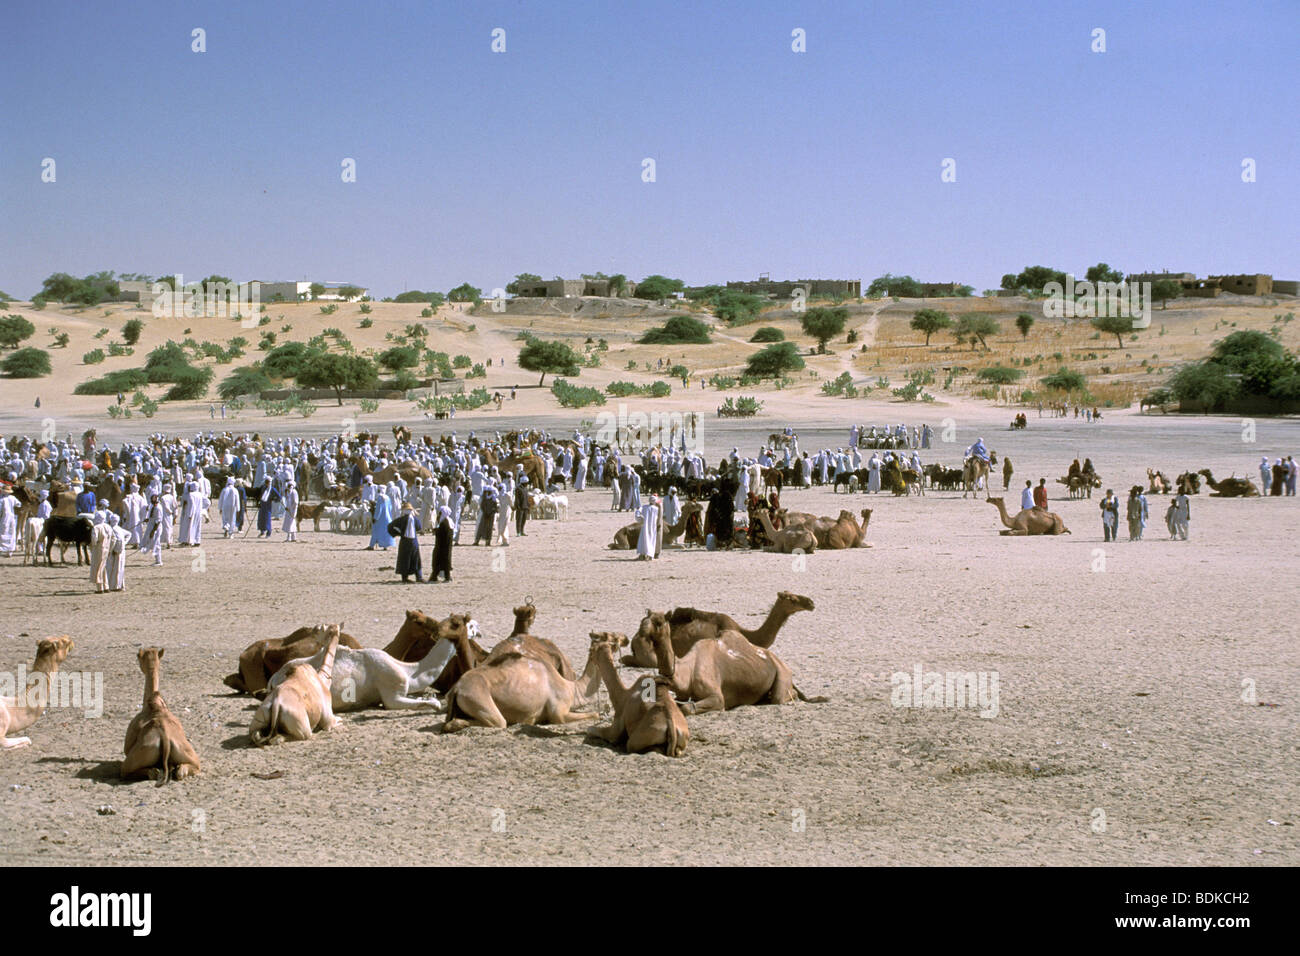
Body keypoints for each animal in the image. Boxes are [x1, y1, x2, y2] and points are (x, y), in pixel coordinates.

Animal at [121, 648, 200, 785]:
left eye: (138, 656)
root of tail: (165, 739)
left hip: (134, 759)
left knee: (141, 772)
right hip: (190, 755)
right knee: (182, 771)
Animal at [440, 628, 604, 732]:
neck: (572, 688)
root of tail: (456, 689)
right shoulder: (559, 713)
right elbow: (595, 714)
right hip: (478, 698)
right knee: (499, 722)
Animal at [639, 612, 825, 714]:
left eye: (659, 622)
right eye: (643, 619)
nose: (642, 630)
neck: (686, 671)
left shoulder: (717, 697)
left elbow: (688, 708)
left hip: (782, 674)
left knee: (781, 697)